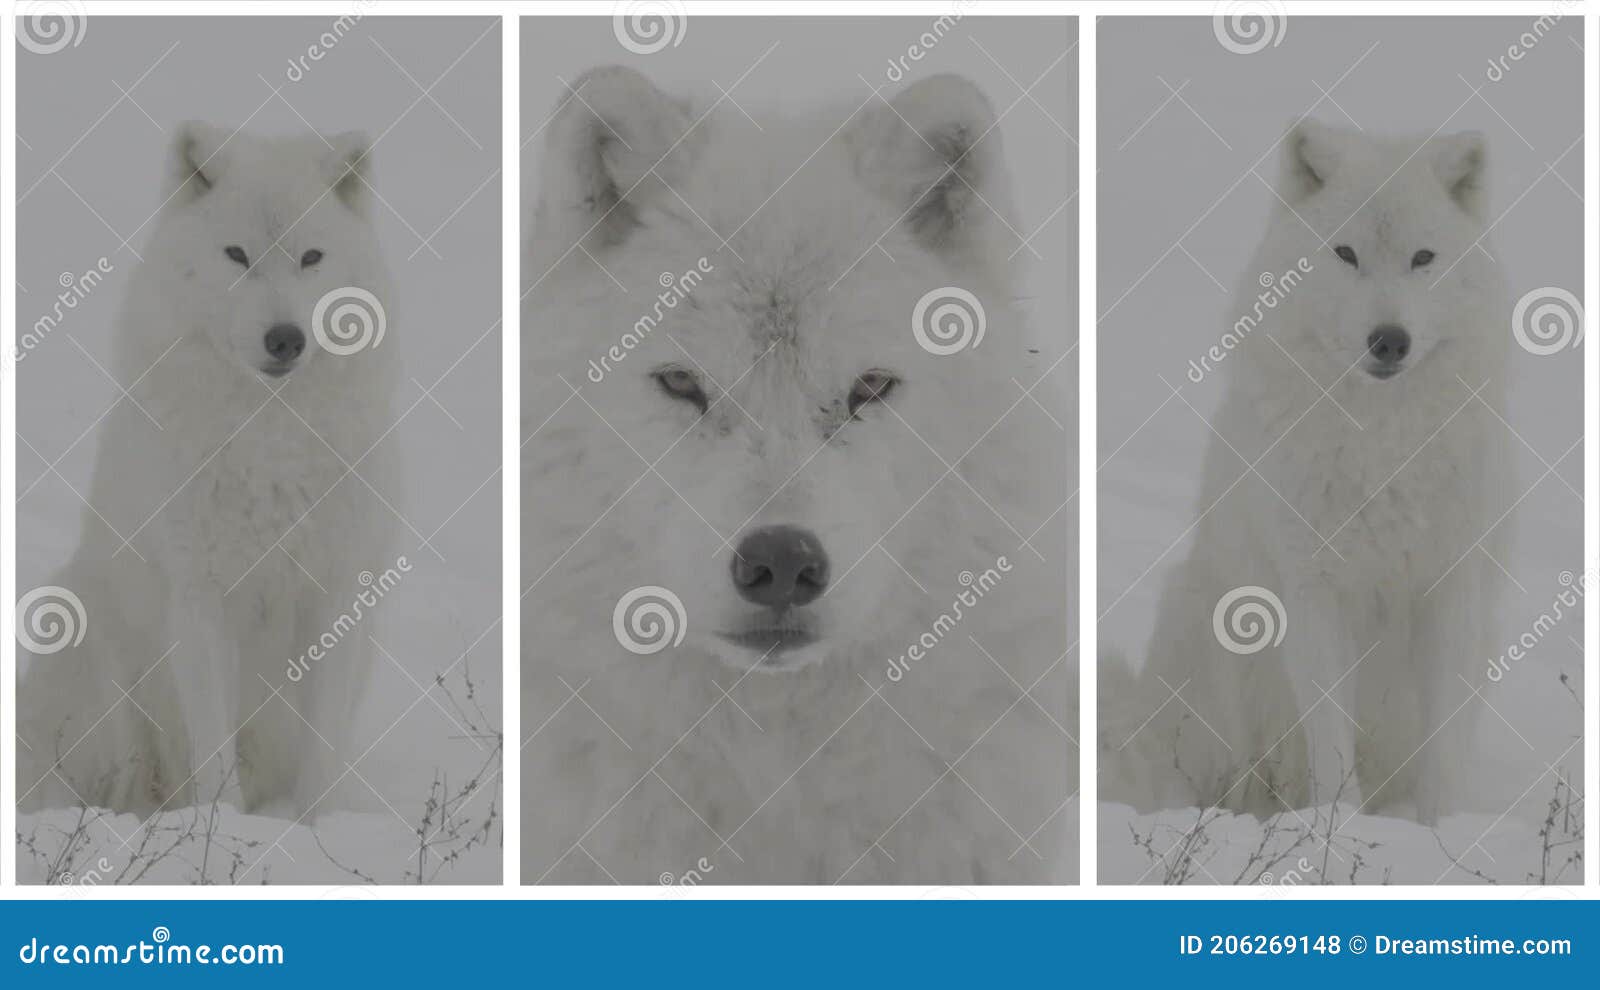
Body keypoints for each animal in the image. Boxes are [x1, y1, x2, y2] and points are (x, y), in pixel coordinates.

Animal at [18, 123, 400, 821]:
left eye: (311, 258)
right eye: (236, 255)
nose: (286, 339)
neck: (269, 444)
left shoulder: (334, 595)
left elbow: (319, 761)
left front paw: (315, 832)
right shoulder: (199, 596)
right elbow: (214, 750)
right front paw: (223, 831)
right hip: (94, 649)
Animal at [1102, 120, 1509, 826]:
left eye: (1423, 258)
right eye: (1345, 253)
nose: (1389, 339)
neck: (1381, 448)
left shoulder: (1453, 588)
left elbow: (1446, 752)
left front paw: (1440, 833)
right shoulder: (1313, 591)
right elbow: (1331, 740)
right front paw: (1339, 830)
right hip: (1208, 634)